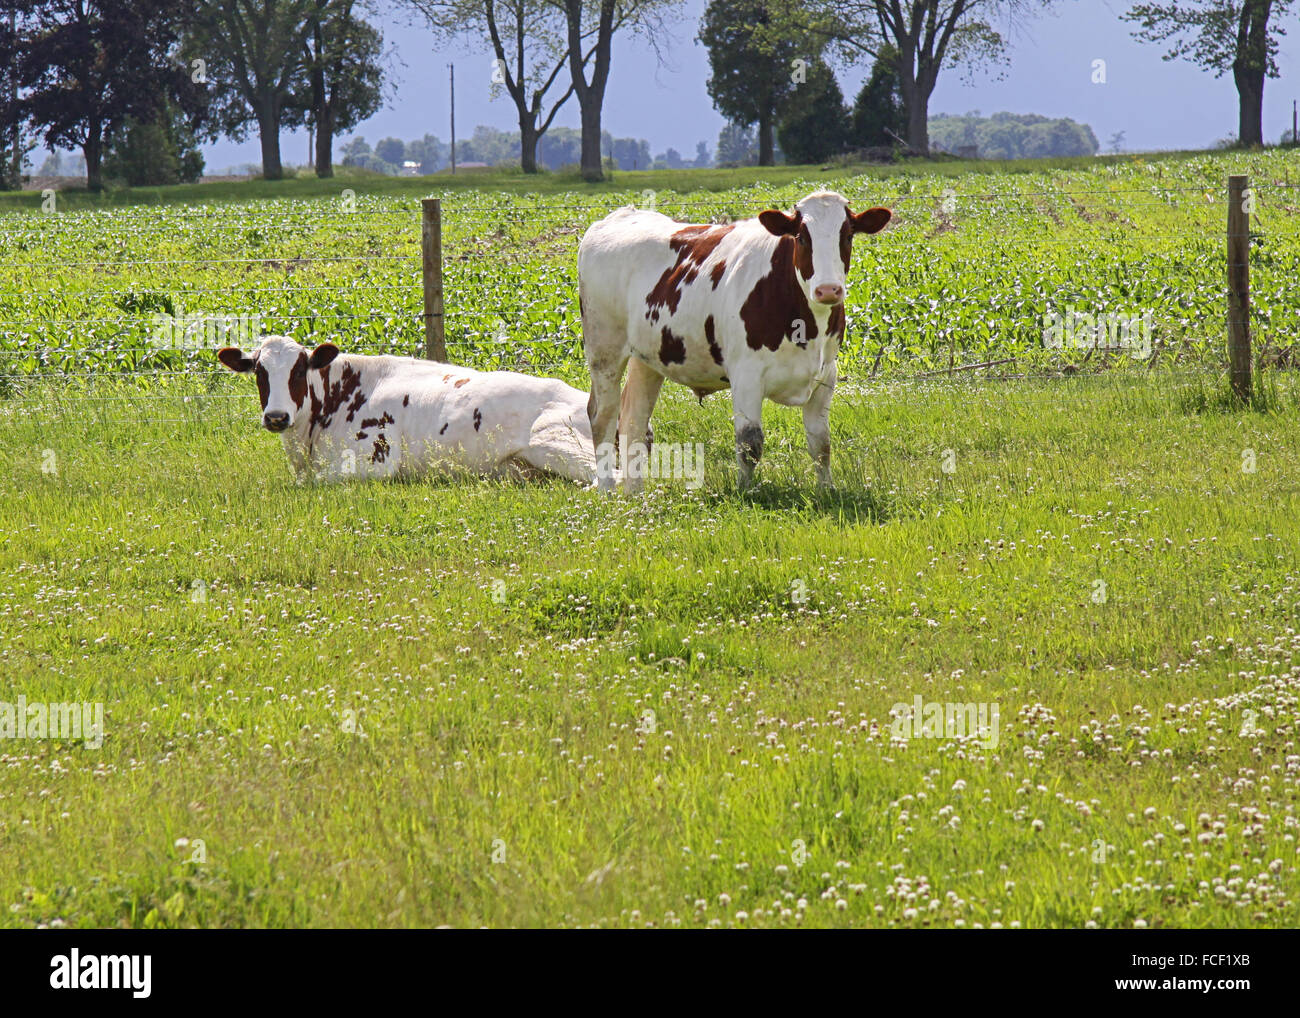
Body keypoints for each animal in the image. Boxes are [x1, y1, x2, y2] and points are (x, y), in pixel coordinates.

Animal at [578, 190, 891, 492]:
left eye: (847, 235)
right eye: (802, 237)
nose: (828, 290)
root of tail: (619, 215)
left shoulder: (826, 376)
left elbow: (821, 444)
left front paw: (826, 490)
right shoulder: (746, 375)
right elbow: (750, 442)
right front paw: (745, 492)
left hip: (648, 357)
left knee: (634, 421)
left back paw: (636, 494)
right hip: (604, 349)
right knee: (602, 416)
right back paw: (607, 489)